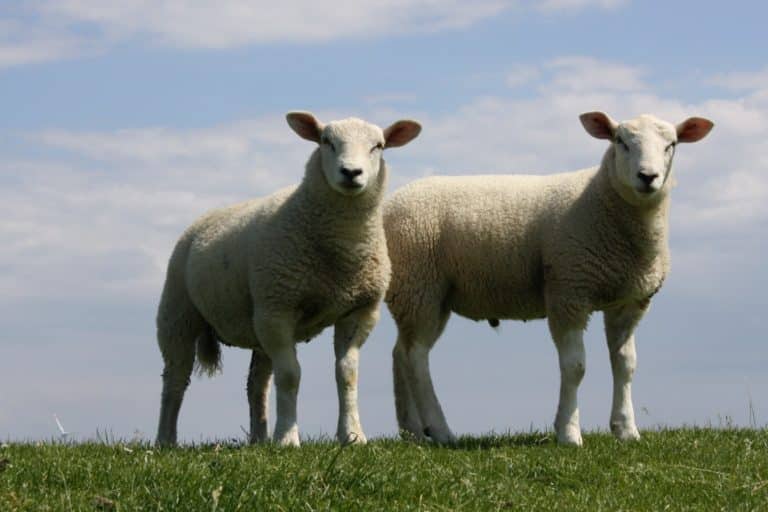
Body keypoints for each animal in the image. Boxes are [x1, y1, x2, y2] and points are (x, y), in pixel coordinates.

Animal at [155, 111, 422, 447]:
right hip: (179, 313)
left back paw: (258, 438)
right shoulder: (278, 309)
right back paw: (165, 439)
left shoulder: (359, 310)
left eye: (379, 146)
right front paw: (287, 438)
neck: (342, 252)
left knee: (256, 385)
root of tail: (203, 219)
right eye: (326, 141)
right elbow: (291, 375)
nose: (351, 172)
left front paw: (352, 435)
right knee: (175, 379)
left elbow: (347, 373)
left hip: (257, 319)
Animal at [384, 112, 713, 446]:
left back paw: (412, 431)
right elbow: (575, 367)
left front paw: (626, 430)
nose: (648, 177)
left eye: (671, 144)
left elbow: (625, 365)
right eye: (620, 141)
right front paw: (568, 433)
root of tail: (390, 202)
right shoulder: (568, 292)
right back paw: (440, 430)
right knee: (417, 358)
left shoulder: (629, 302)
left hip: (426, 295)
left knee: (401, 354)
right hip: (419, 285)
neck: (601, 202)